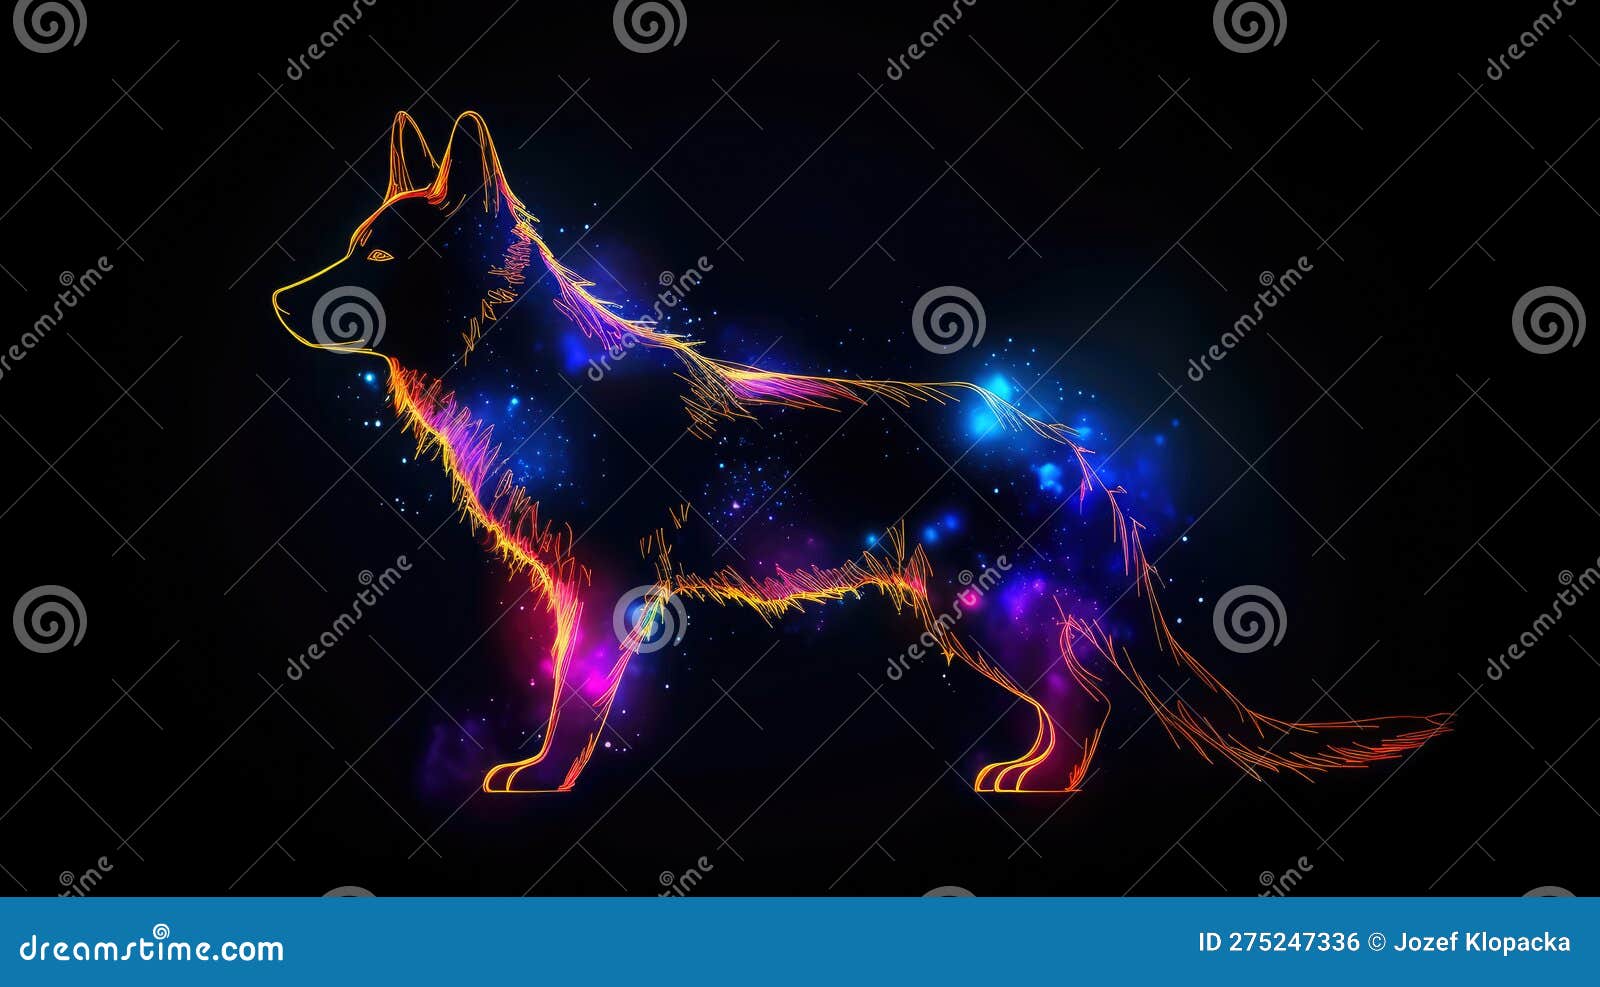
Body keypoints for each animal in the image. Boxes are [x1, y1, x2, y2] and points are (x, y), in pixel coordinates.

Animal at [272, 111, 1449, 795]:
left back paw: (1040, 783)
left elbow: (575, 693)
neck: (527, 368)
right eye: (351, 247)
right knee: (1085, 697)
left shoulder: (599, 590)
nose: (281, 299)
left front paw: (548, 775)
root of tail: (1060, 445)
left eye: (381, 257)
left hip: (974, 610)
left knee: (1088, 699)